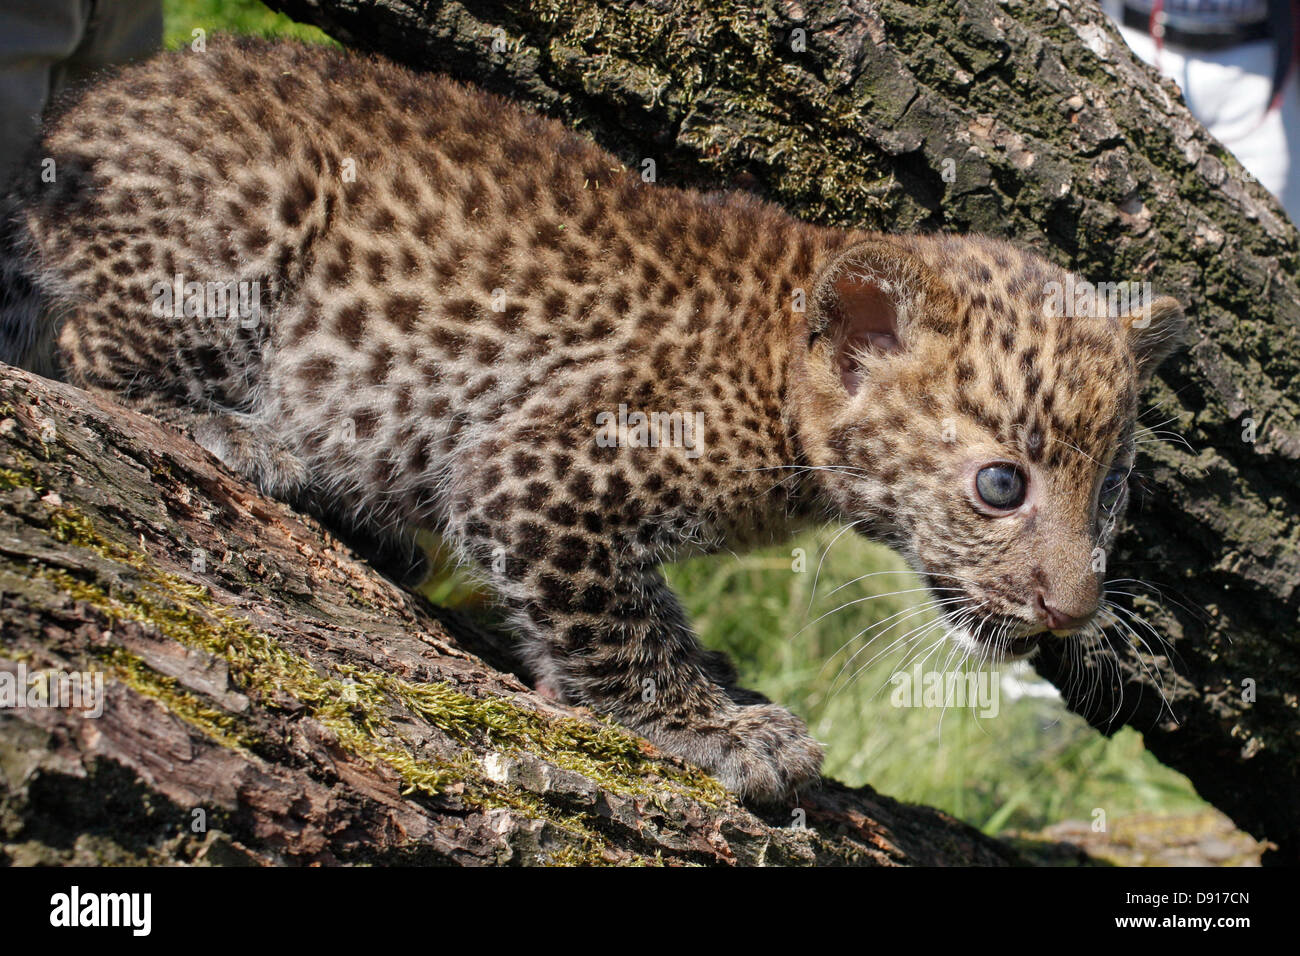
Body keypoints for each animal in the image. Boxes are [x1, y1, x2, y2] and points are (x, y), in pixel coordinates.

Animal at [0, 36, 1186, 801]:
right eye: (1001, 484)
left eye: (1115, 490)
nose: (1075, 610)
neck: (773, 376)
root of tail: (79, 124)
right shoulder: (537, 470)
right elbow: (618, 625)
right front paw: (723, 730)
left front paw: (722, 681)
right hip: (236, 235)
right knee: (85, 346)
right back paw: (244, 436)